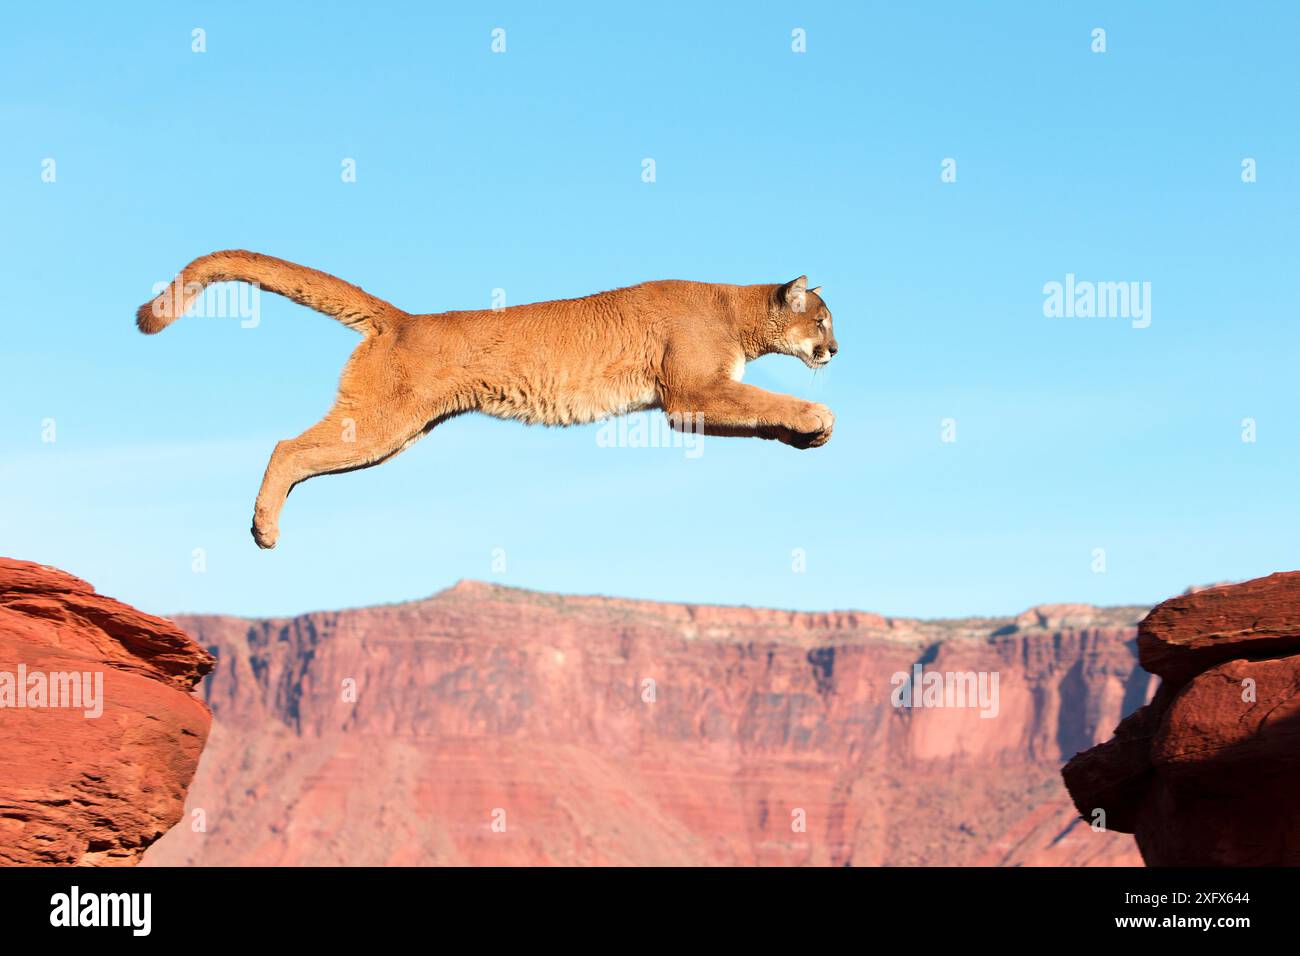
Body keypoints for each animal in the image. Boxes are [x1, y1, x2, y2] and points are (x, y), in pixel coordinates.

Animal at [137, 251, 838, 548]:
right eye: (823, 320)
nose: (836, 349)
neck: (736, 309)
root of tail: (404, 319)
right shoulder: (693, 389)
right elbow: (764, 397)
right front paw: (818, 416)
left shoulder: (696, 402)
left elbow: (757, 411)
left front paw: (808, 435)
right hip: (380, 424)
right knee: (286, 446)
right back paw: (264, 528)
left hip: (393, 437)